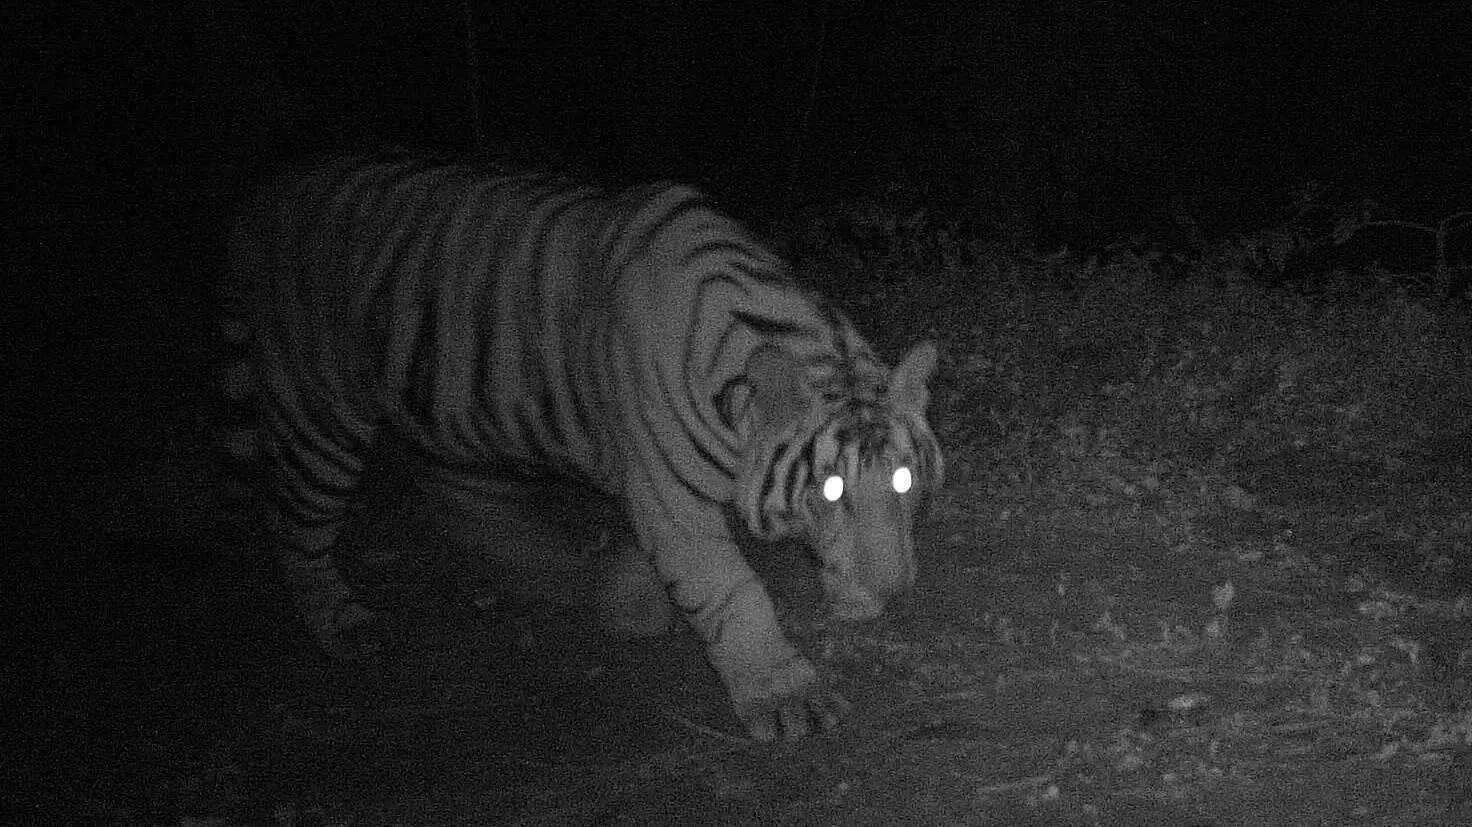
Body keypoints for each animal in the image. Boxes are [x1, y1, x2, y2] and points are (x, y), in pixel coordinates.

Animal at [219, 152, 943, 742]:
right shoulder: (671, 502)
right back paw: (345, 624)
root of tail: (268, 193)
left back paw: (580, 576)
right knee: (294, 524)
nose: (896, 593)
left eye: (904, 482)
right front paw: (787, 695)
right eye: (831, 489)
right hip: (318, 415)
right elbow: (732, 591)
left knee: (460, 497)